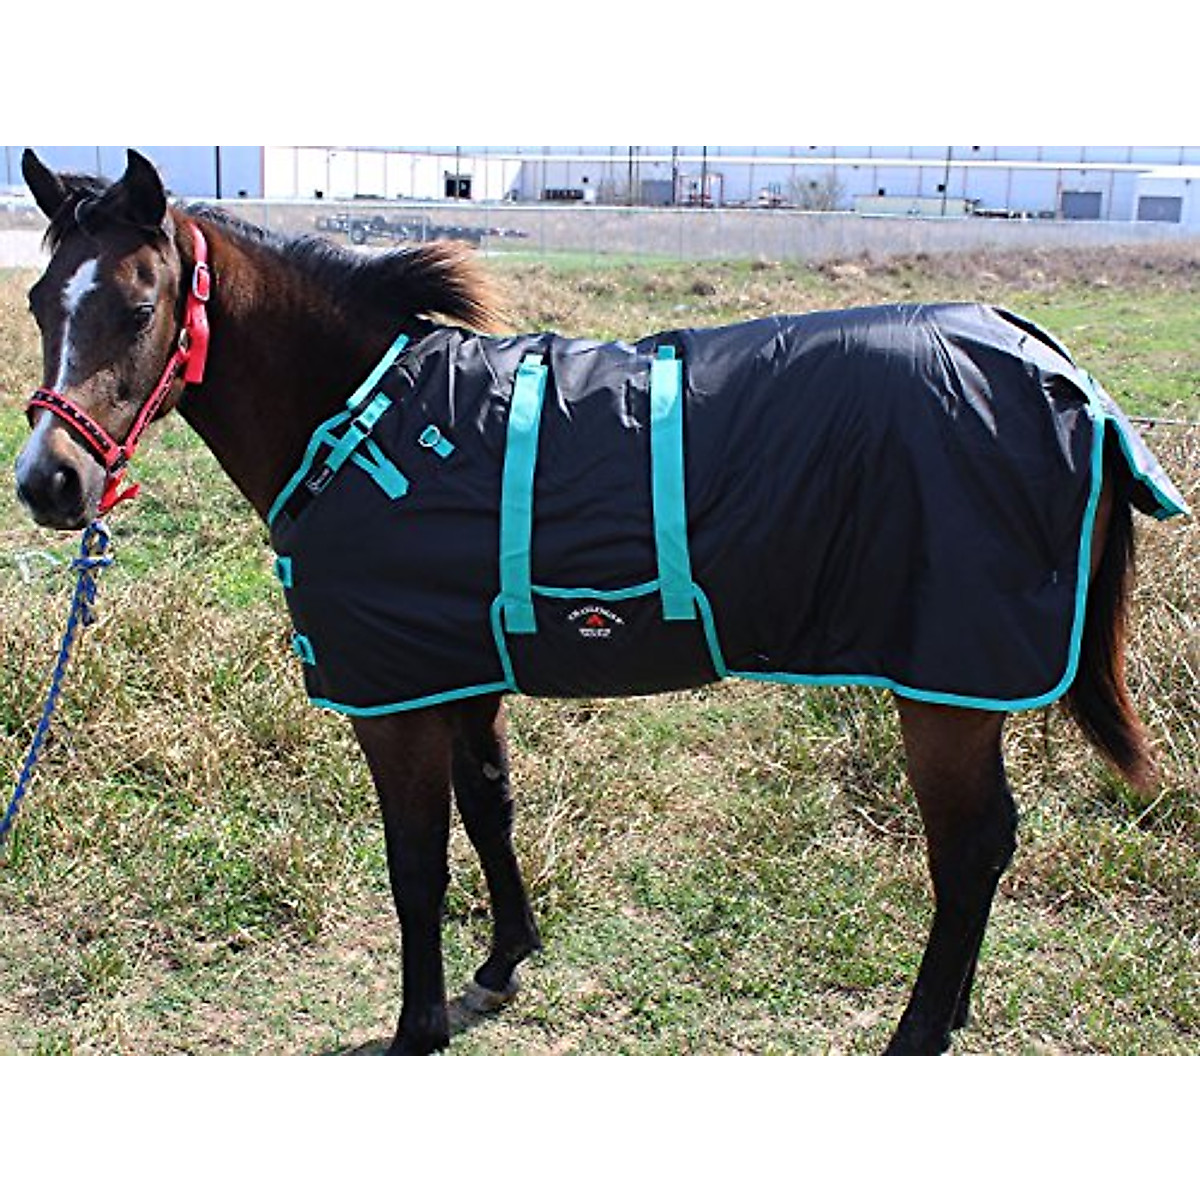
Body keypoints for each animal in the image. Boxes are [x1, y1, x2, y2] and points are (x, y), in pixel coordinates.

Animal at [11, 149, 1187, 1055]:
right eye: (36, 302)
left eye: (138, 305)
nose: (48, 482)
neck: (365, 419)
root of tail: (1062, 372)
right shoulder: (457, 670)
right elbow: (489, 809)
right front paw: (502, 961)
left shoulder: (394, 701)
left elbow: (414, 865)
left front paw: (417, 1028)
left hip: (946, 688)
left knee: (973, 845)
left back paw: (920, 1030)